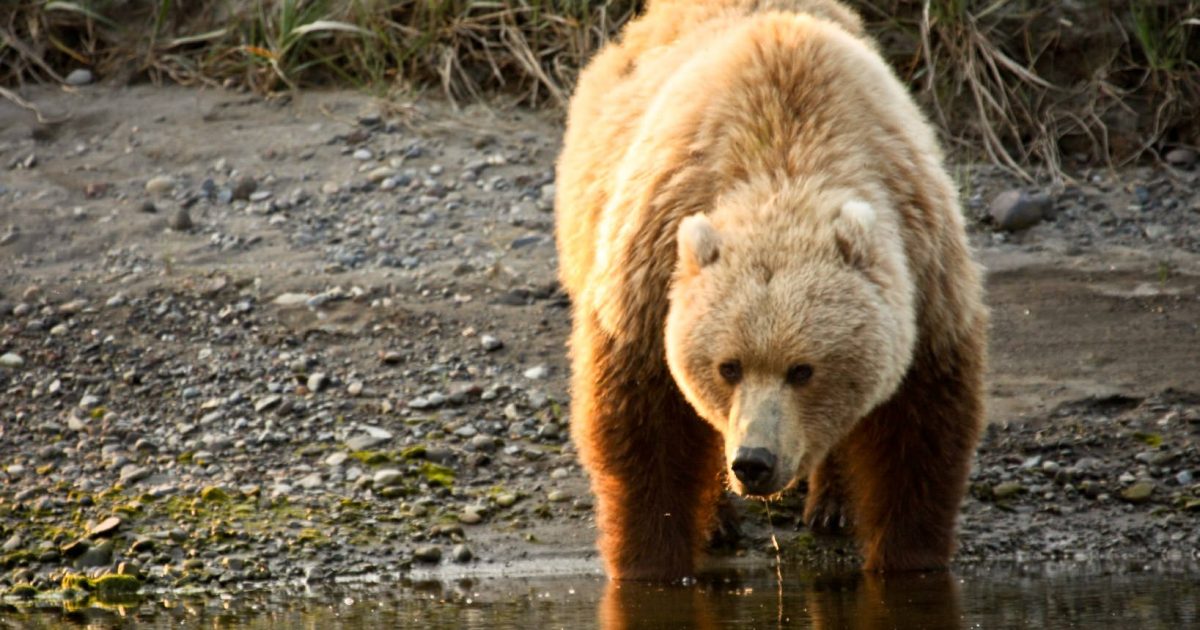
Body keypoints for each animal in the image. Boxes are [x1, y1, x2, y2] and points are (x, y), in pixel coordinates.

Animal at [555, 0, 987, 580]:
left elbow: (919, 428)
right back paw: (718, 519)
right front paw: (650, 561)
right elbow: (645, 426)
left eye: (803, 370)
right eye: (728, 366)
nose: (754, 462)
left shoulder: (925, 273)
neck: (784, 161)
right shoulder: (650, 274)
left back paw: (831, 504)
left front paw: (908, 557)